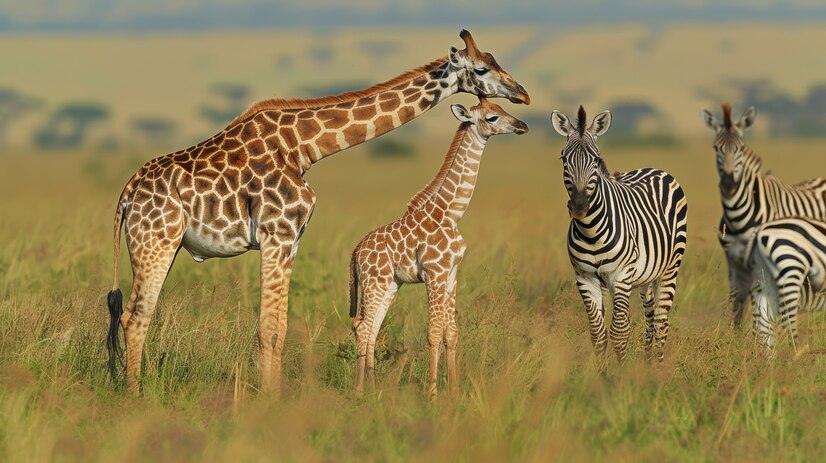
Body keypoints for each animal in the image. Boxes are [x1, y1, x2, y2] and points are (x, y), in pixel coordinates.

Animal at [348, 97, 528, 397]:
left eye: (502, 108)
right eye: (491, 117)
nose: (522, 125)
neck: (450, 213)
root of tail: (355, 252)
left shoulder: (452, 274)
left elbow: (450, 332)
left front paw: (453, 389)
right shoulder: (434, 272)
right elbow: (433, 332)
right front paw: (432, 392)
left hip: (391, 283)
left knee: (372, 329)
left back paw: (374, 389)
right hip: (374, 281)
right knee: (362, 328)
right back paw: (360, 391)